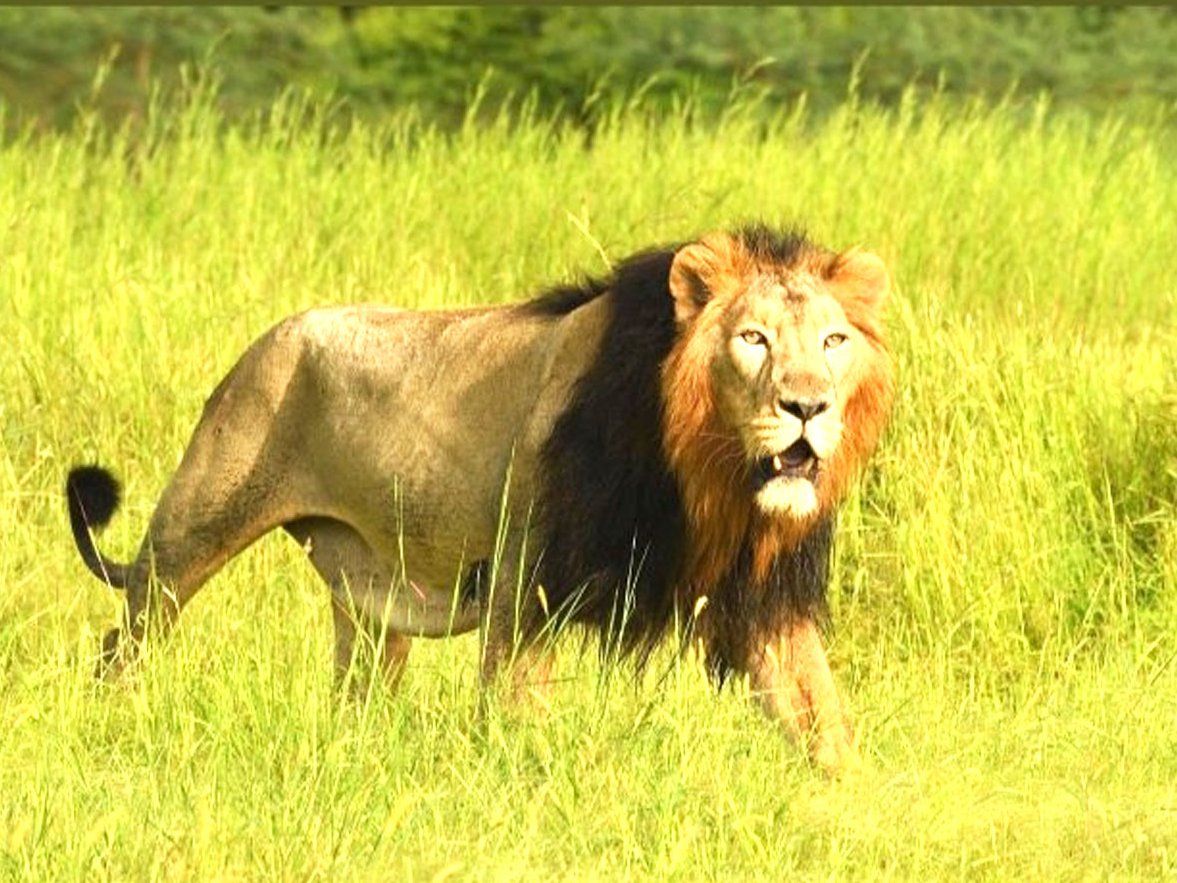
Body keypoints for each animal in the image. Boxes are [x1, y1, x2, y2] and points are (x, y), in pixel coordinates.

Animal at [66, 225, 893, 773]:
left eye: (832, 341)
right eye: (753, 339)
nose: (807, 407)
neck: (704, 475)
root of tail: (267, 337)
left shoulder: (762, 597)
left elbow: (823, 716)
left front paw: (855, 808)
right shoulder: (524, 579)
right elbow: (514, 708)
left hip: (370, 599)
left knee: (356, 685)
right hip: (192, 527)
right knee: (126, 635)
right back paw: (112, 722)